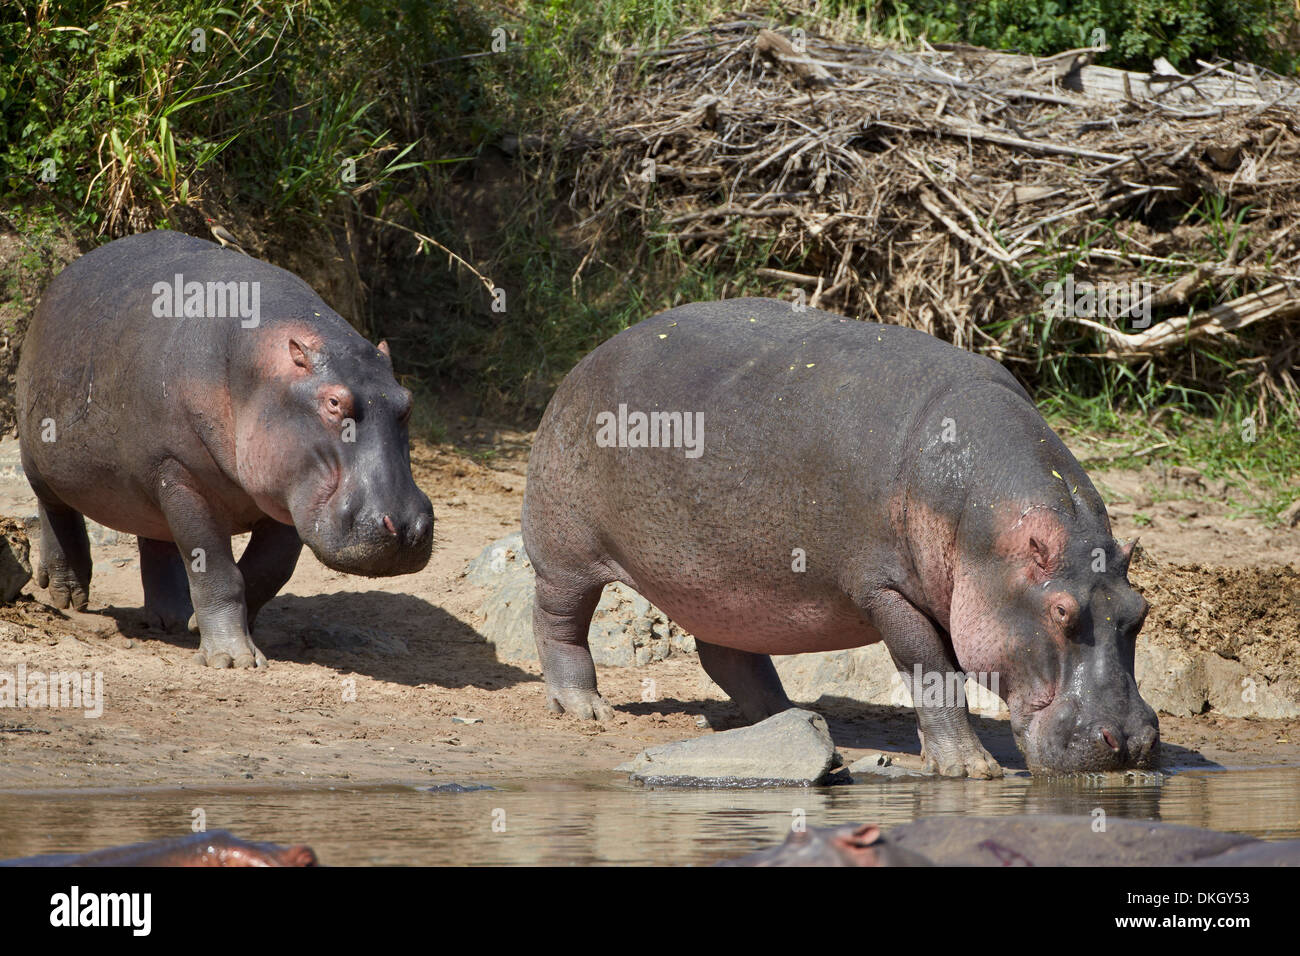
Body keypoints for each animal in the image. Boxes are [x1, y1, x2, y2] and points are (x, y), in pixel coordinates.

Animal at [16, 230, 433, 669]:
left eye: (407, 401)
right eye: (334, 402)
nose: (406, 527)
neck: (257, 371)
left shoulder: (287, 493)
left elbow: (268, 570)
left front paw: (198, 626)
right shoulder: (181, 475)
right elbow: (216, 570)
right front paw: (232, 659)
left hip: (150, 481)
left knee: (156, 541)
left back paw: (173, 618)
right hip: (43, 458)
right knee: (56, 512)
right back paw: (67, 594)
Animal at [522, 298, 1159, 776]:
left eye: (1141, 610)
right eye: (1059, 611)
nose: (1131, 742)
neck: (990, 536)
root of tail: (589, 357)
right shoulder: (886, 591)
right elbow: (932, 670)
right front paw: (969, 768)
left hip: (722, 584)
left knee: (728, 653)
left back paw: (784, 716)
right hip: (566, 553)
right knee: (558, 622)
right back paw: (585, 709)